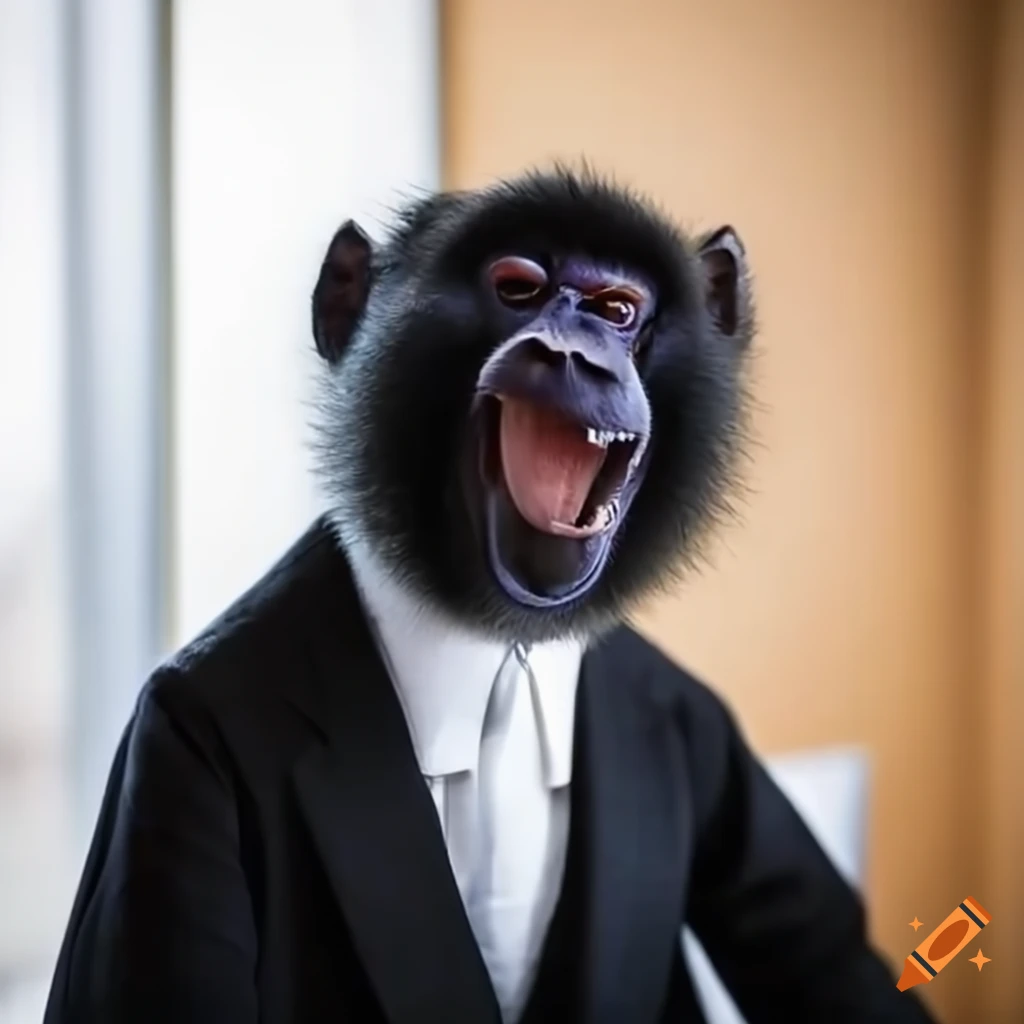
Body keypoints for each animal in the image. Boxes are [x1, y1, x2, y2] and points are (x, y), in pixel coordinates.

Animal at [44, 168, 935, 1024]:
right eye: (517, 289)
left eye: (617, 310)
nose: (574, 353)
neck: (502, 650)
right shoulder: (172, 754)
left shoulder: (698, 718)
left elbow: (821, 941)